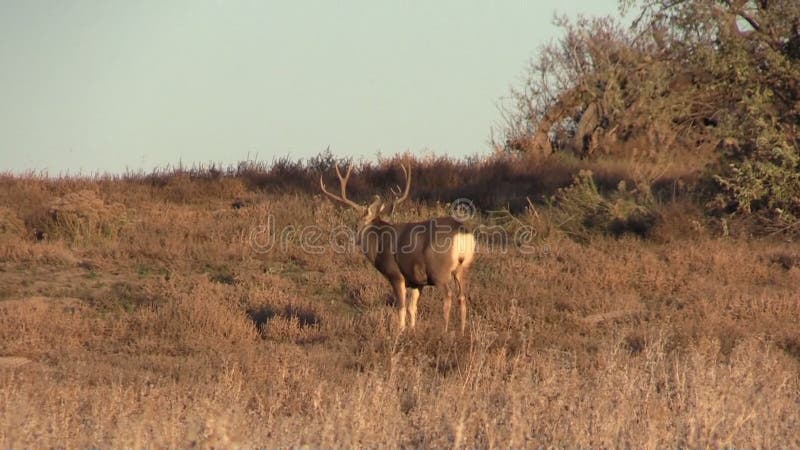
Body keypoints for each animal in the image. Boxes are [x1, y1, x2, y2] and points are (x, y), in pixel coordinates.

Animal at [320, 163, 476, 334]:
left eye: (356, 224)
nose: (355, 239)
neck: (379, 242)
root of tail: (462, 233)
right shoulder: (416, 281)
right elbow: (412, 307)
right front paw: (412, 329)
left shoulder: (395, 274)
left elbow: (400, 306)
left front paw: (400, 331)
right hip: (464, 268)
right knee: (462, 297)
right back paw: (462, 332)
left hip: (439, 269)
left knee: (448, 296)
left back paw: (445, 331)